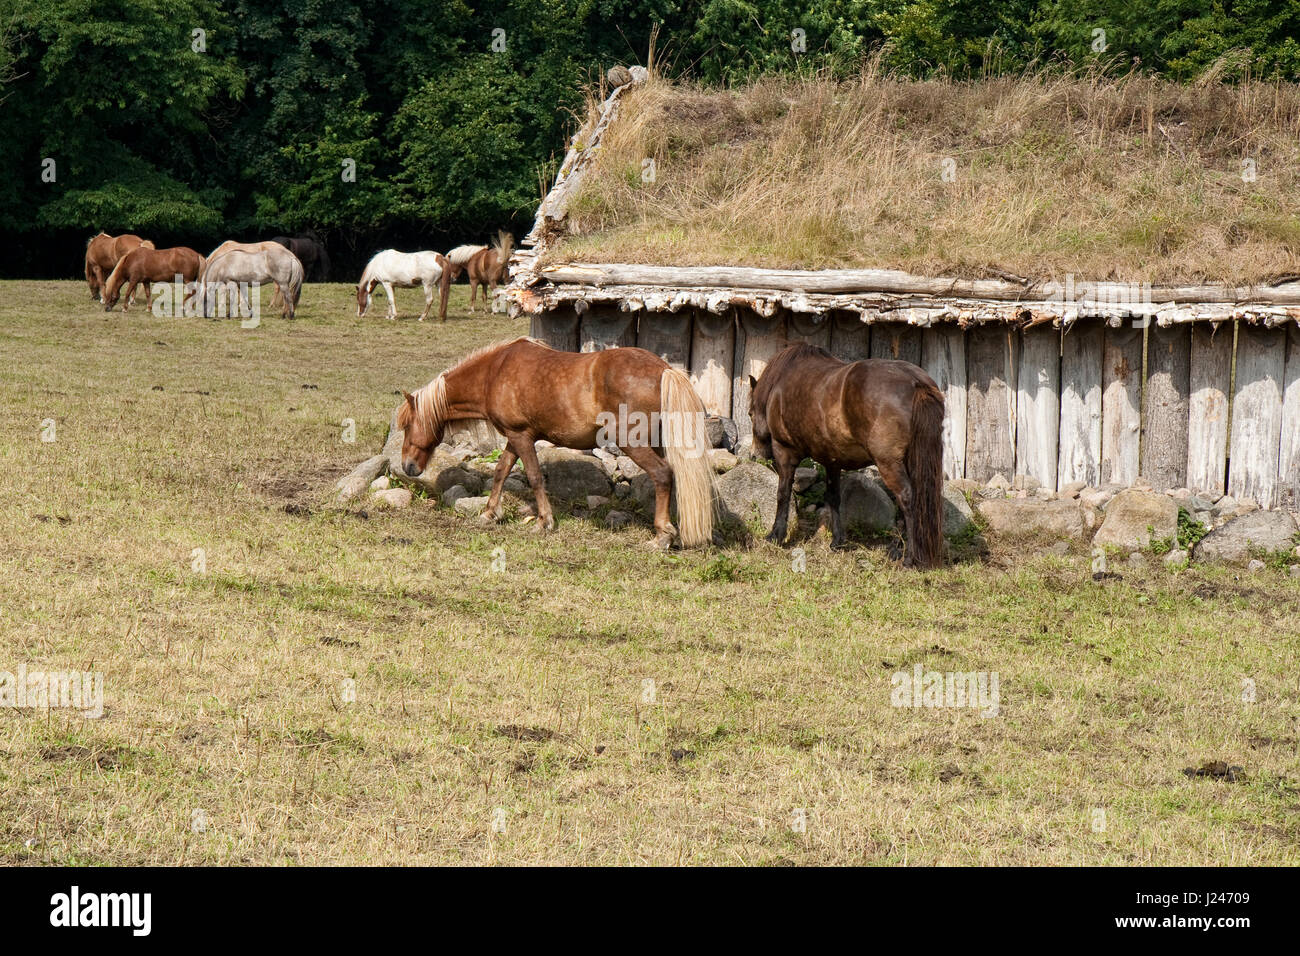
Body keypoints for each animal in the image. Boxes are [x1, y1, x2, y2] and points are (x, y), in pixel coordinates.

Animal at [397, 337, 716, 549]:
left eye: (407, 425)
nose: (408, 466)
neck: (495, 372)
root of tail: (664, 369)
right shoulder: (515, 437)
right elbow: (501, 472)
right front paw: (489, 513)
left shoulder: (521, 436)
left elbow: (535, 477)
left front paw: (543, 521)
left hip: (632, 442)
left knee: (662, 474)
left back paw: (661, 536)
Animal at [748, 343, 946, 568]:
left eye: (750, 413)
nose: (754, 455)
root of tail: (916, 383)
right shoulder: (832, 461)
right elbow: (833, 497)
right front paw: (837, 541)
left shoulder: (785, 452)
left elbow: (783, 493)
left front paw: (776, 535)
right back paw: (896, 550)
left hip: (889, 464)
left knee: (906, 498)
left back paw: (909, 557)